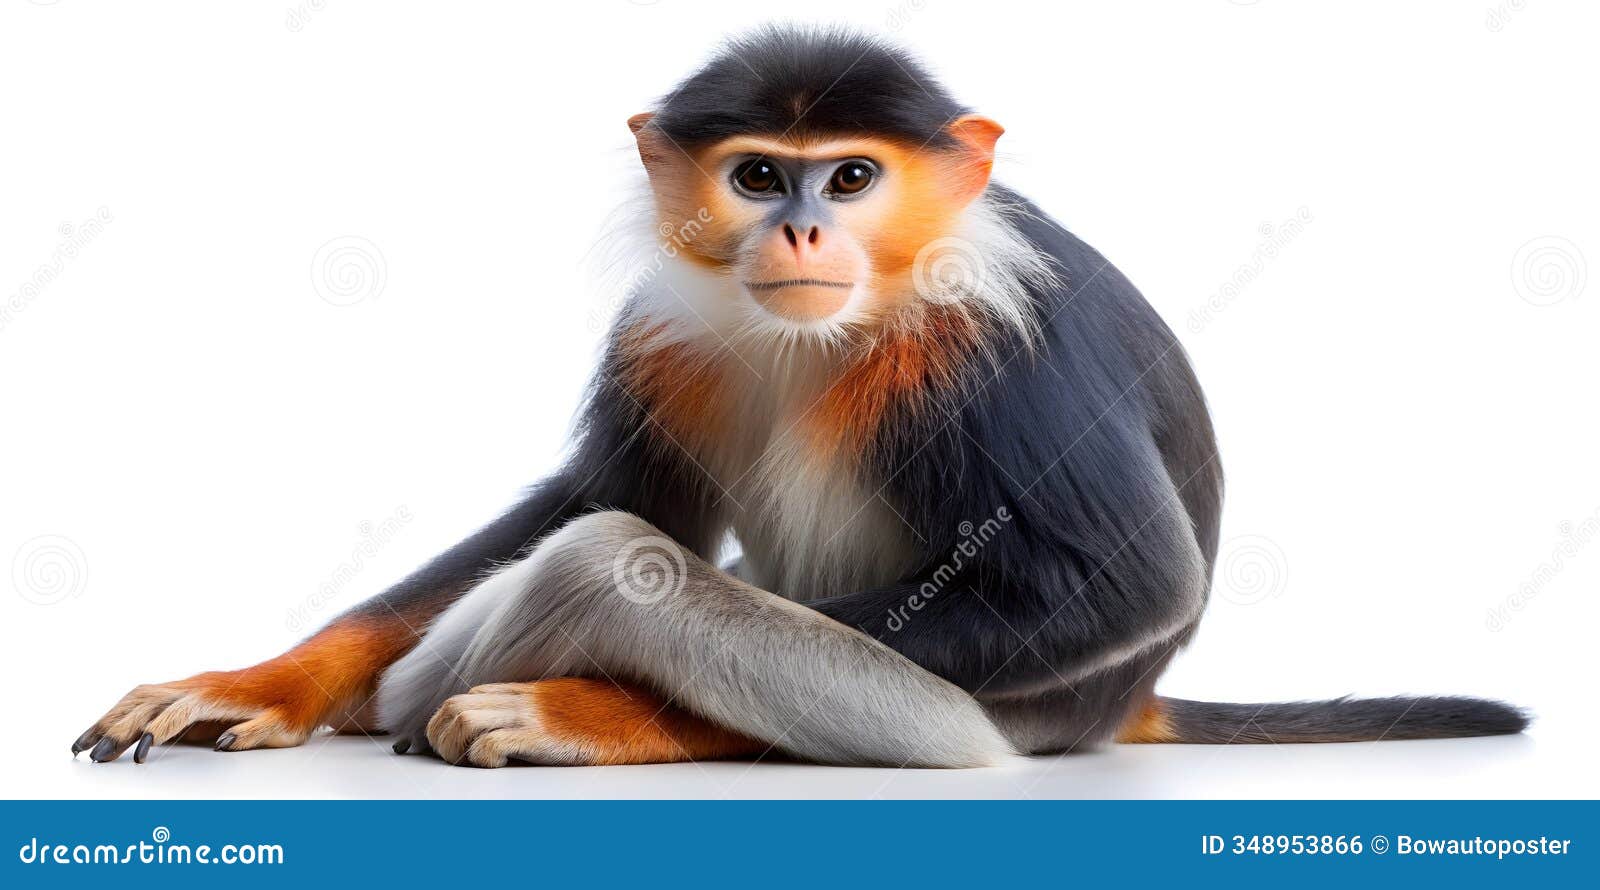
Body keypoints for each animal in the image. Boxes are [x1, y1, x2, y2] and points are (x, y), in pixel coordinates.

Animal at [73, 27, 1526, 769]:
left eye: (852, 177)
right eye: (763, 174)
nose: (803, 232)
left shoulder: (995, 339)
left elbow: (1124, 584)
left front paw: (604, 701)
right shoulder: (667, 317)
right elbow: (601, 491)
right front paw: (258, 679)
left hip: (987, 719)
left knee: (614, 567)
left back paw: (578, 708)